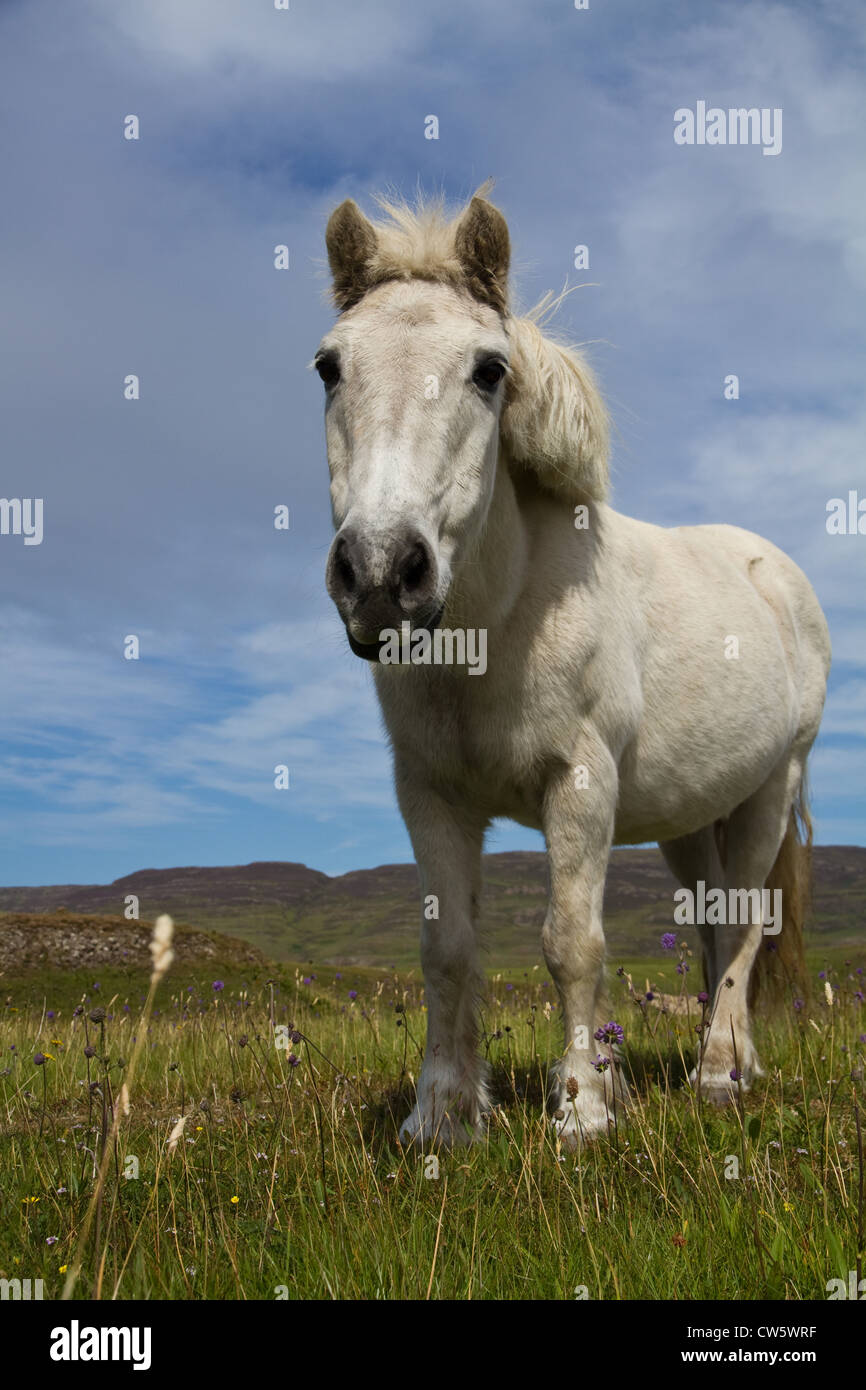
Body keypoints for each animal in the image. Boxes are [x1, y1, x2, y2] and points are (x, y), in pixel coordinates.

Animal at [315, 188, 831, 1146]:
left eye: (489, 370)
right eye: (329, 367)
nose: (379, 575)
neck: (502, 622)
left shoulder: (579, 784)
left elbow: (572, 942)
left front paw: (584, 1108)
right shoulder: (430, 795)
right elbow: (447, 950)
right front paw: (441, 1118)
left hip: (769, 791)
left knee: (744, 925)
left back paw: (719, 1072)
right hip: (686, 820)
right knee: (712, 924)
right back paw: (724, 1058)